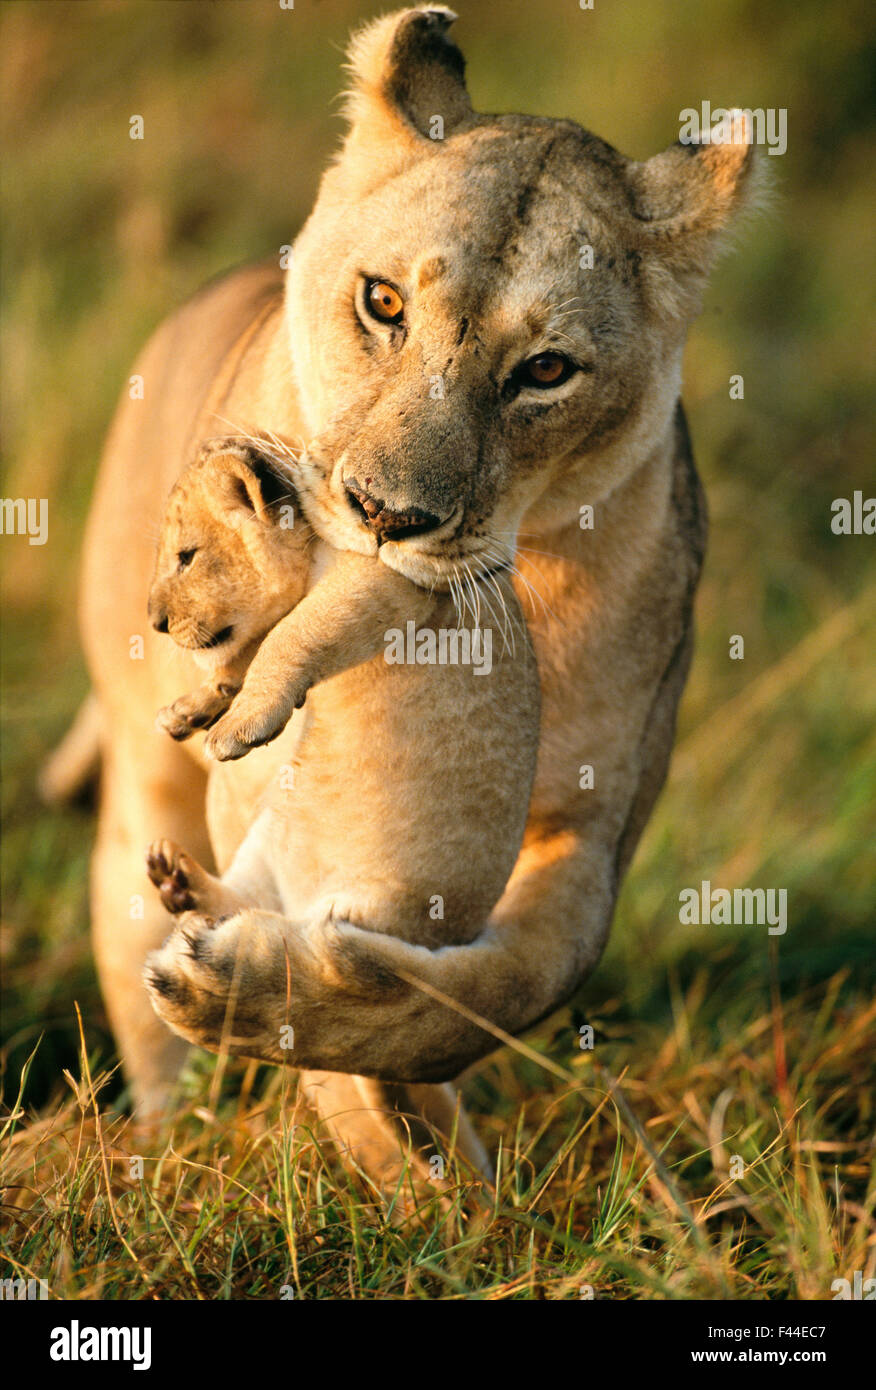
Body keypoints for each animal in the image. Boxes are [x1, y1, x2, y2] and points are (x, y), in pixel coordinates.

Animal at [51, 6, 758, 1188]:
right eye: (382, 304)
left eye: (547, 370)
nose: (386, 515)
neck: (527, 583)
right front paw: (403, 1160)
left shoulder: (594, 827)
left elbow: (498, 992)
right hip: (142, 790)